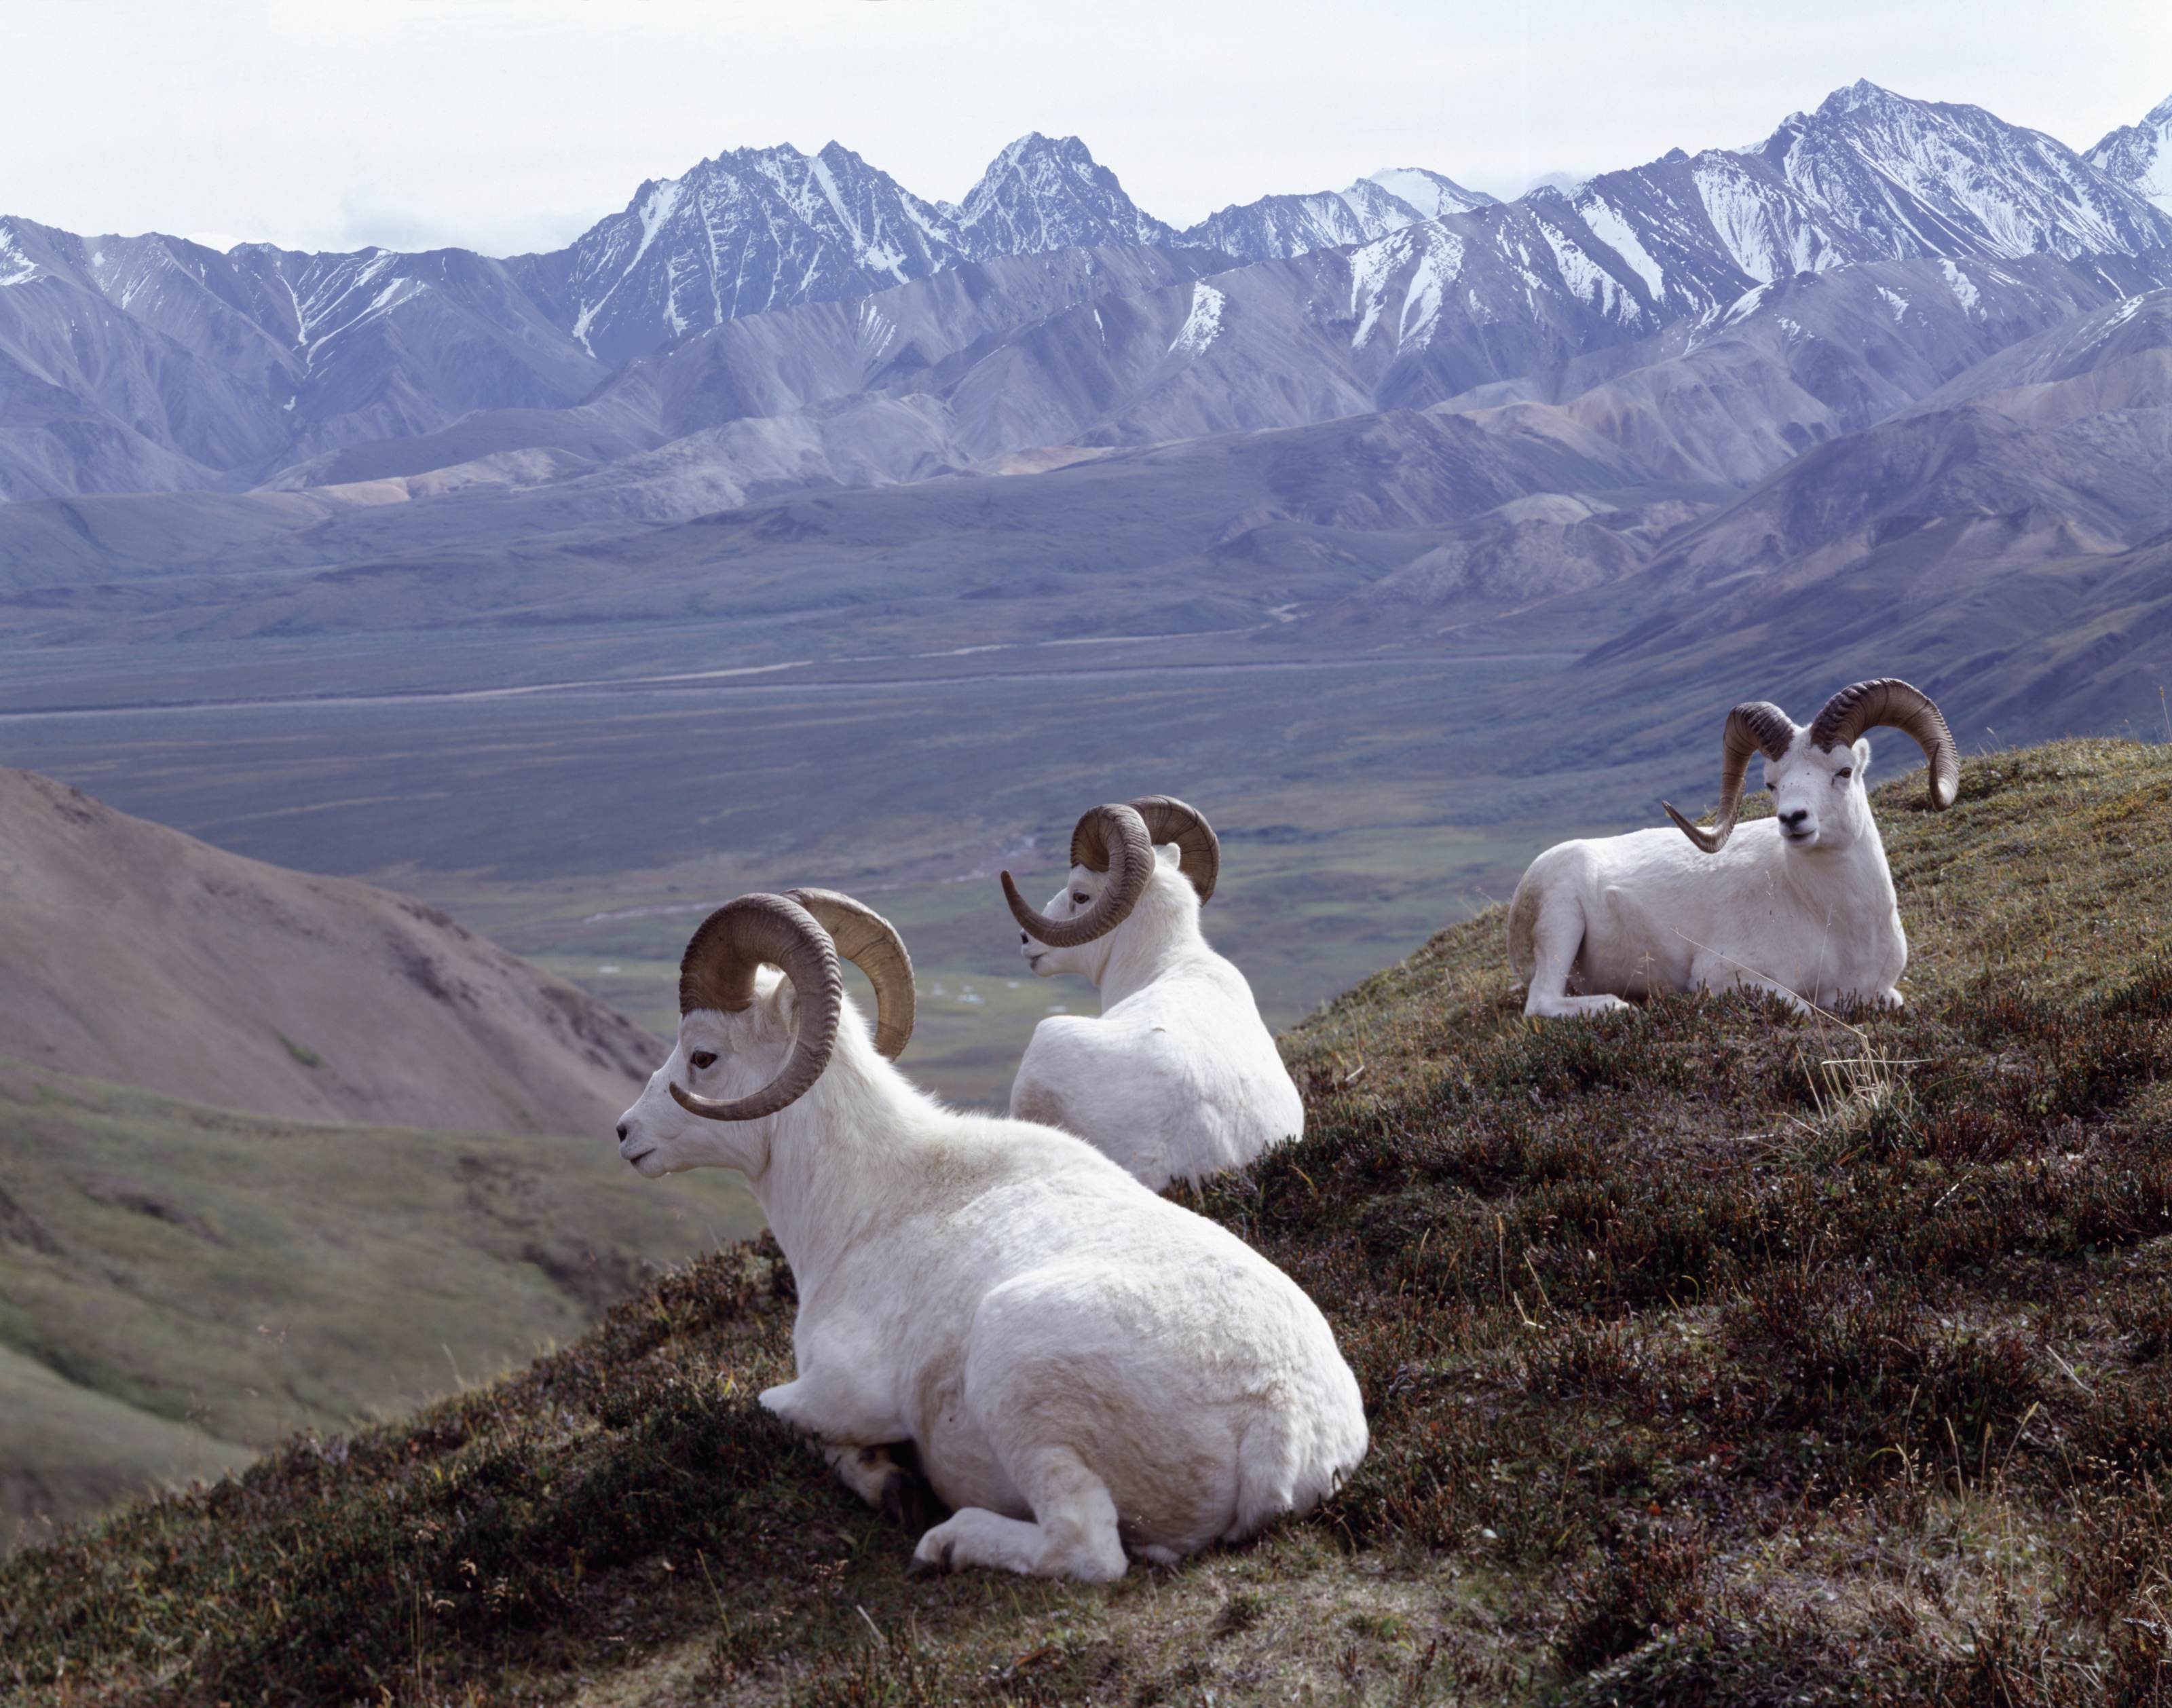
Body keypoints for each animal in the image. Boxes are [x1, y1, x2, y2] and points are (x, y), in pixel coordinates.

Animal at [614, 885, 1368, 1582]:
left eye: (703, 1057)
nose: (625, 1133)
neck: (864, 1203)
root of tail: (1282, 1424)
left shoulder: (843, 1392)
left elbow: (775, 1409)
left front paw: (890, 1482)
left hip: (1019, 1380)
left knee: (1086, 1549)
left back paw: (942, 1542)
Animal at [1508, 678, 1959, 1019]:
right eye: (1772, 783)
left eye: (1844, 772)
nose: (1793, 819)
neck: (1837, 920)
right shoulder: (1722, 976)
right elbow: (1806, 1008)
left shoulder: (1881, 990)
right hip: (1561, 923)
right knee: (1541, 1002)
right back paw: (1619, 1006)